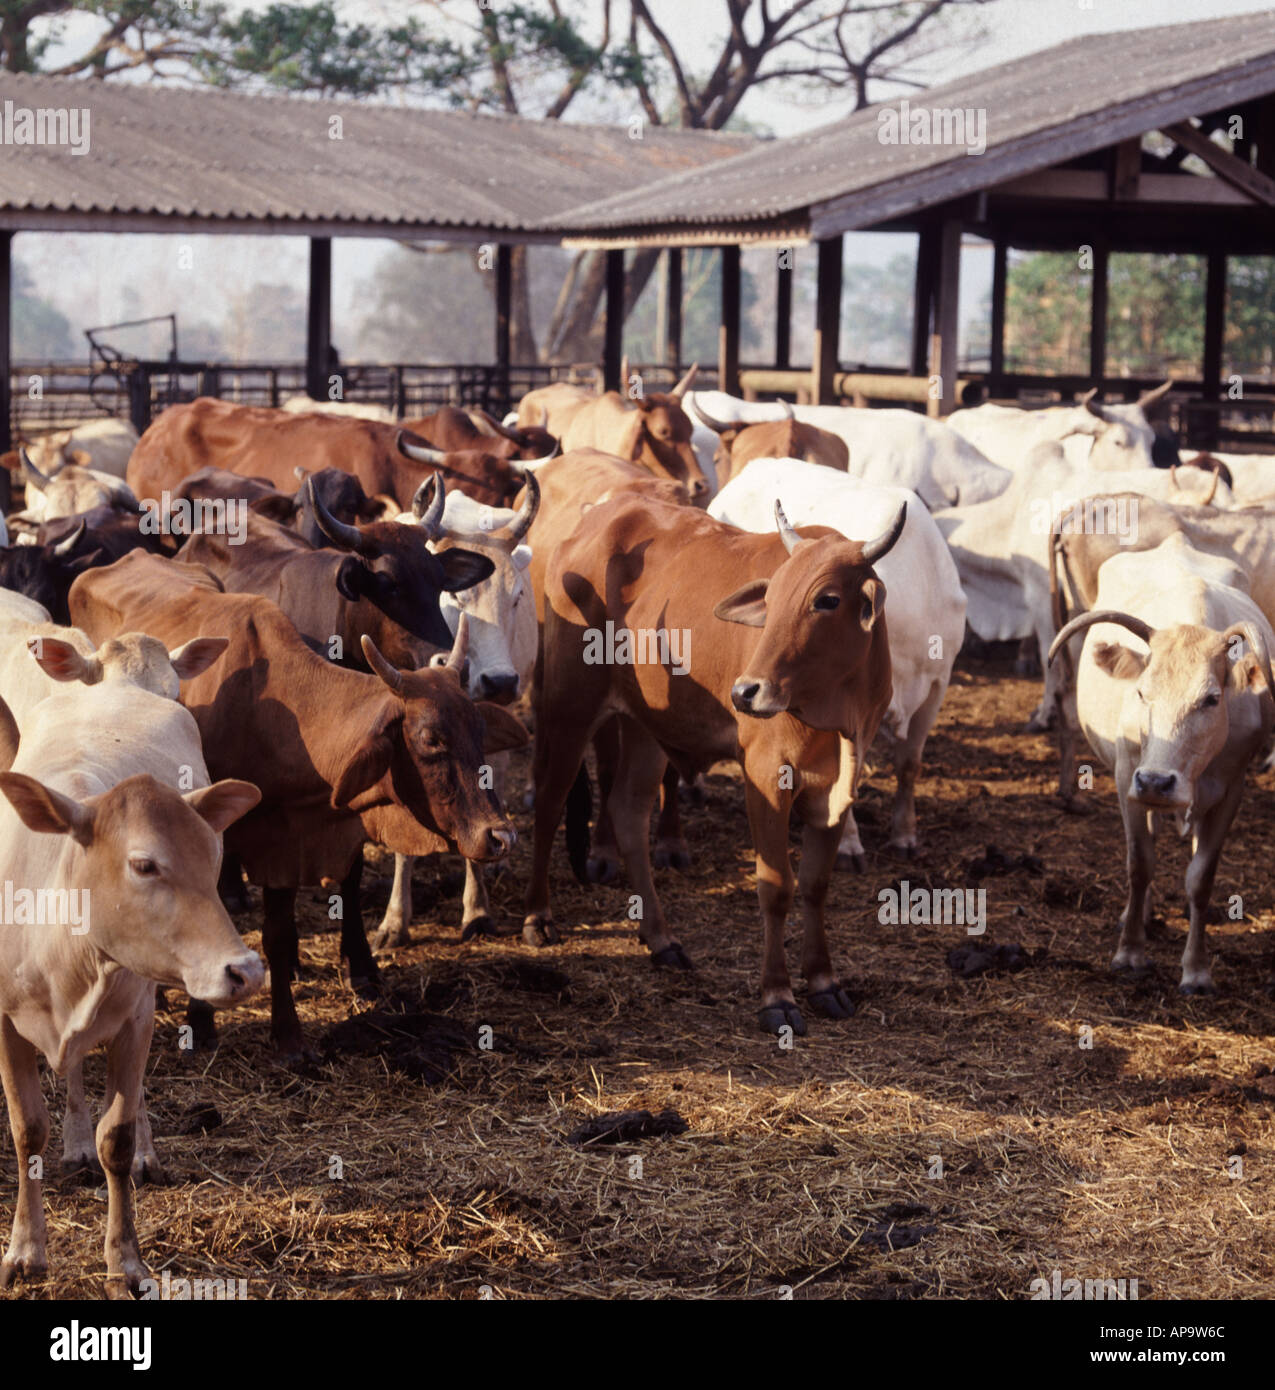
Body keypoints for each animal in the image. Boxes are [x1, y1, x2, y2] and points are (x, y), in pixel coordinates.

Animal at [0, 629, 260, 1293]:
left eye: (214, 858)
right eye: (144, 864)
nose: (246, 969)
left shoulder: (136, 1014)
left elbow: (115, 1134)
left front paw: (126, 1260)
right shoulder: (4, 1024)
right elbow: (27, 1129)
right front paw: (25, 1250)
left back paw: (144, 1151)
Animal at [69, 552, 528, 1059]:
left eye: (480, 732)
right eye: (431, 738)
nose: (501, 836)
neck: (271, 711)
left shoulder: (287, 842)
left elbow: (279, 932)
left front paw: (286, 1029)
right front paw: (205, 1021)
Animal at [526, 492, 903, 1034]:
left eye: (826, 600)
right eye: (772, 597)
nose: (746, 692)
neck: (836, 719)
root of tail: (596, 519)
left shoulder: (835, 789)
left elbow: (815, 885)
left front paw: (824, 983)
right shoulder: (766, 775)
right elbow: (776, 886)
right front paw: (777, 997)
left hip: (645, 727)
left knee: (628, 811)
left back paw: (661, 939)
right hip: (568, 706)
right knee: (549, 803)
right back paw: (538, 918)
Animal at [710, 460, 965, 867]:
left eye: (827, 600)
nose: (747, 690)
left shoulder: (936, 688)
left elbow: (909, 765)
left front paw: (905, 835)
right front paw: (847, 843)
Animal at [1047, 533, 1274, 992]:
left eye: (1212, 699)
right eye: (1141, 692)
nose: (1156, 782)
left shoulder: (1231, 789)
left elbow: (1201, 878)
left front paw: (1196, 970)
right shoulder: (1125, 778)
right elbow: (1140, 864)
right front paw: (1130, 953)